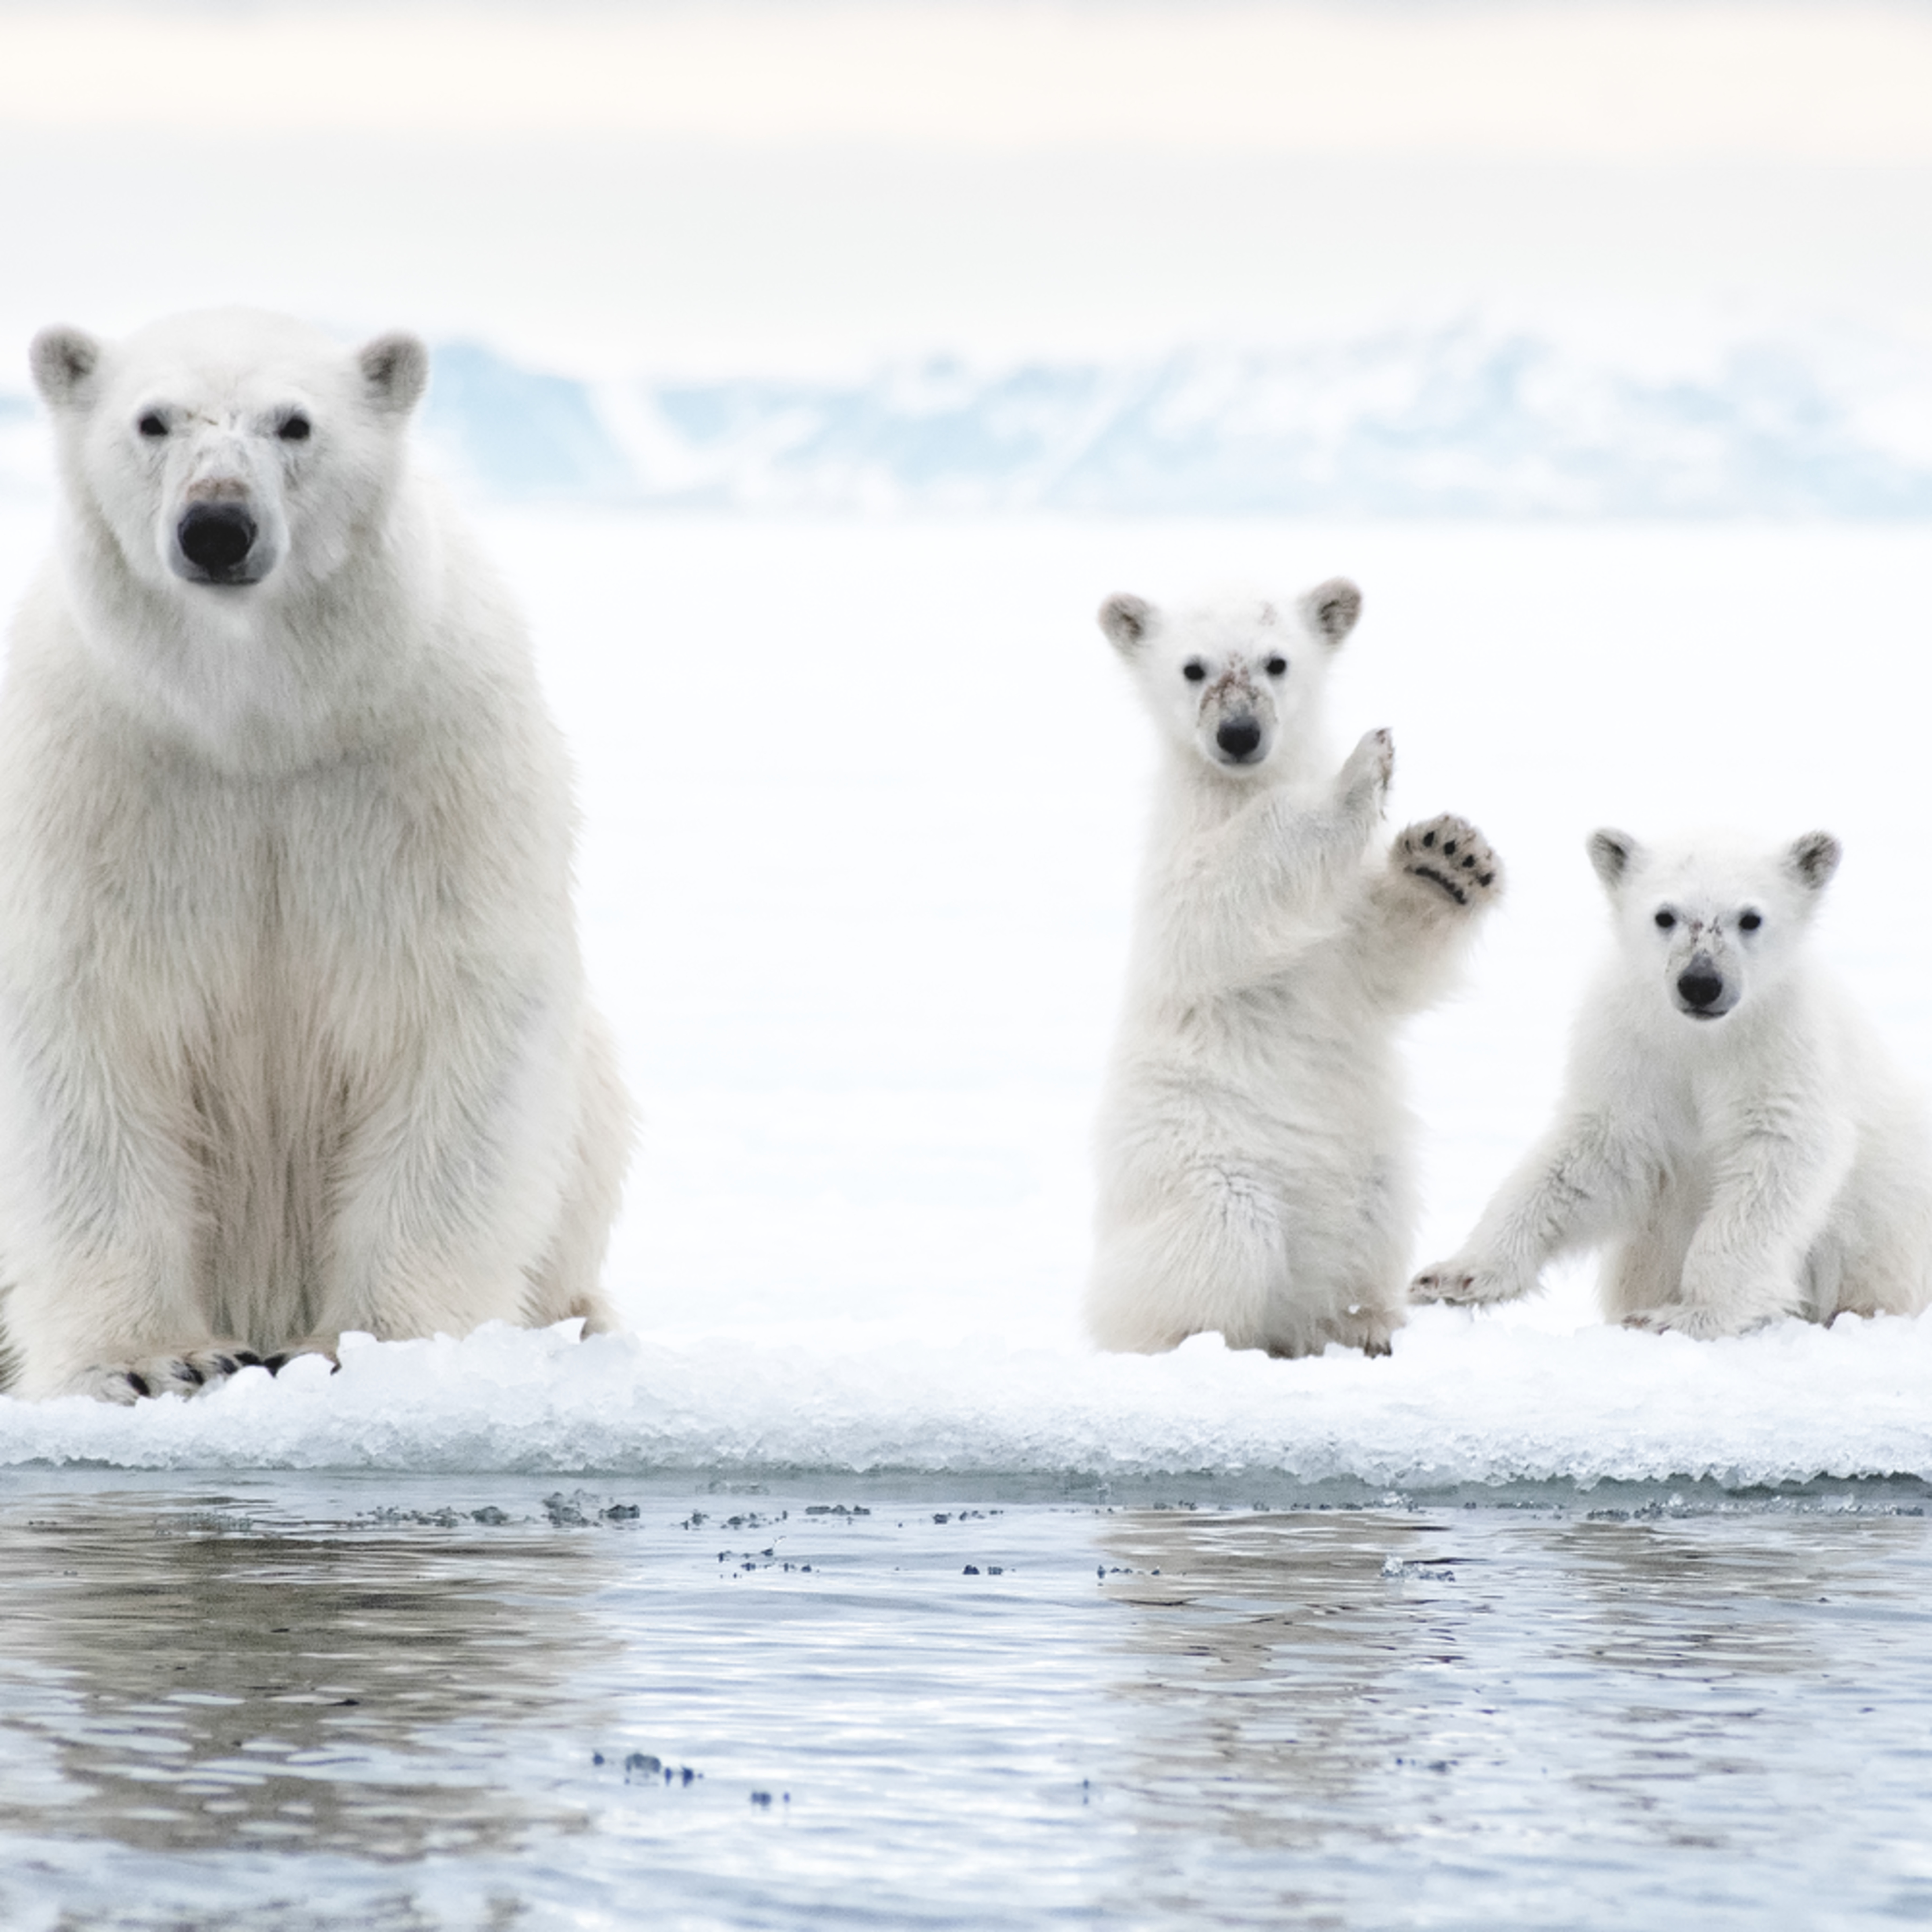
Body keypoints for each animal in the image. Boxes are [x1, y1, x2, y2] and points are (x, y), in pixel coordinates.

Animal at [0, 308, 633, 1401]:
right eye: (153, 420)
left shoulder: (425, 770)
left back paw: (583, 1320)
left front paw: (364, 1347)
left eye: (295, 423)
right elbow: (83, 1029)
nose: (217, 527)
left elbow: (456, 1015)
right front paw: (147, 1362)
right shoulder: (99, 776)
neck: (260, 723)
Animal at [1086, 581, 1503, 1359]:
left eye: (1276, 662)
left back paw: (1363, 1323)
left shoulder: (1344, 936)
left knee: (1369, 1222)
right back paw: (1204, 1337)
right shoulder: (1179, 852)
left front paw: (1449, 854)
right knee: (1222, 1240)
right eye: (1193, 668)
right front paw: (1361, 771)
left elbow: (1382, 960)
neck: (1239, 785)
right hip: (1205, 1174)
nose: (1239, 734)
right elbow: (1212, 907)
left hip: (1375, 1171)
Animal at [1412, 828, 1932, 1338]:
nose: (1701, 983)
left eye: (1750, 918)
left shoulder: (1784, 1049)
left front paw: (1687, 1315)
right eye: (1665, 915)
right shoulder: (1636, 1050)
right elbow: (1592, 1157)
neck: (1703, 1038)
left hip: (1888, 1235)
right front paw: (1453, 1276)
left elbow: (1776, 1159)